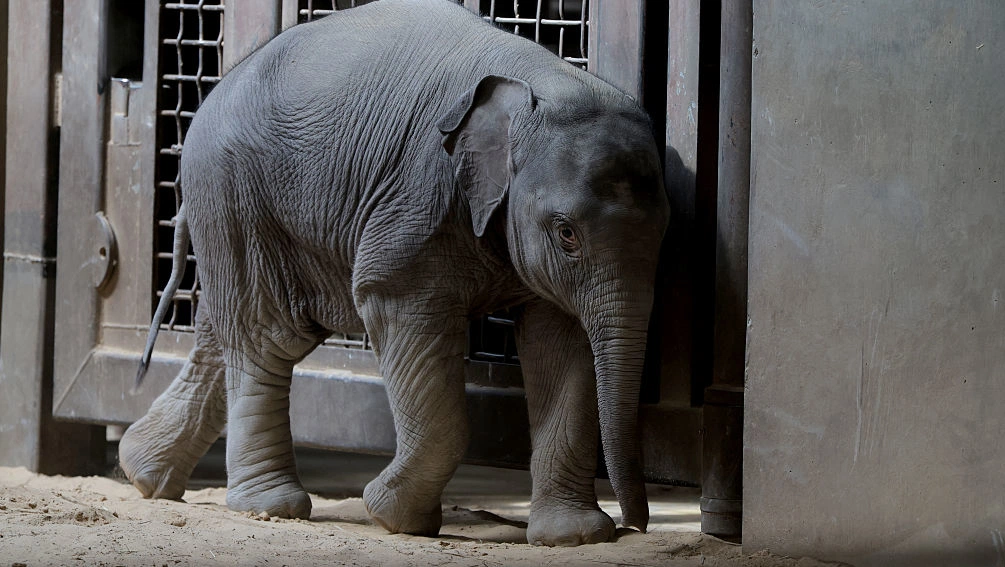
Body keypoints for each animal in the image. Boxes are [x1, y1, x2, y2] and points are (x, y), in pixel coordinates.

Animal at [118, 0, 670, 547]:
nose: (636, 525)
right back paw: (270, 506)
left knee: (226, 328)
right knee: (268, 335)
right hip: (236, 192)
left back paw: (145, 474)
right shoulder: (419, 195)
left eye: (666, 234)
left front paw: (574, 537)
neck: (539, 82)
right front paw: (394, 518)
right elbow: (398, 302)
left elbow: (563, 342)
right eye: (567, 234)